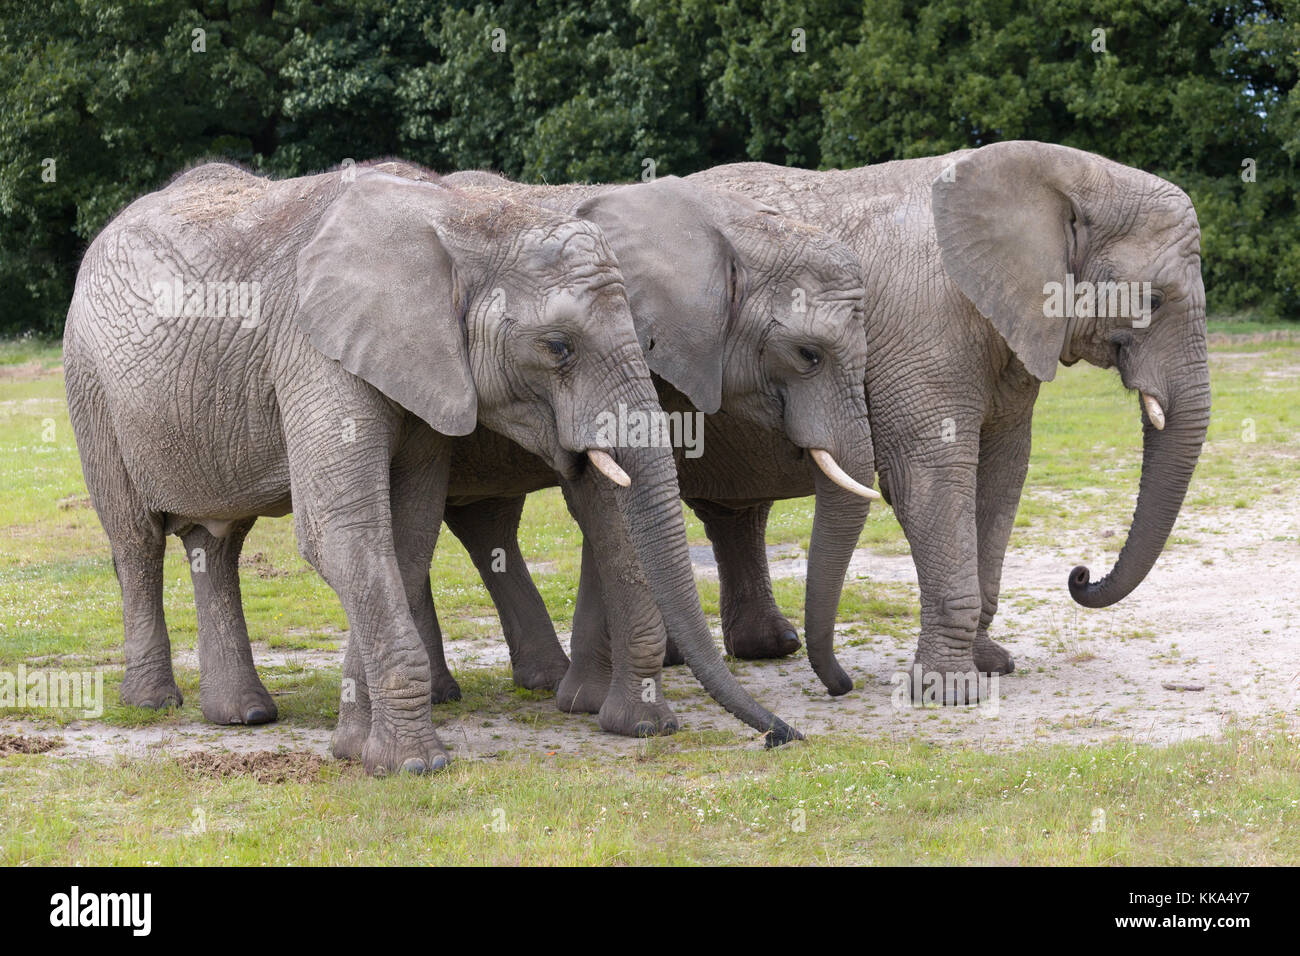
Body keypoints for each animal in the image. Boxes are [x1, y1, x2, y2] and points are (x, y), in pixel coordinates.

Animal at [63, 160, 798, 778]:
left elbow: (404, 536)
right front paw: (414, 765)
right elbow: (343, 535)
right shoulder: (312, 350)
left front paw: (355, 749)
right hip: (89, 386)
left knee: (215, 544)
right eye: (557, 347)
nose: (782, 738)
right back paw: (153, 703)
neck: (464, 223)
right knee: (135, 543)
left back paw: (243, 715)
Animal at [681, 141, 1211, 700]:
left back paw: (766, 648)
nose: (1080, 575)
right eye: (1153, 300)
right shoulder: (922, 328)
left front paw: (991, 664)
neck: (1060, 174)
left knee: (736, 513)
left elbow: (1001, 475)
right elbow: (927, 476)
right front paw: (953, 693)